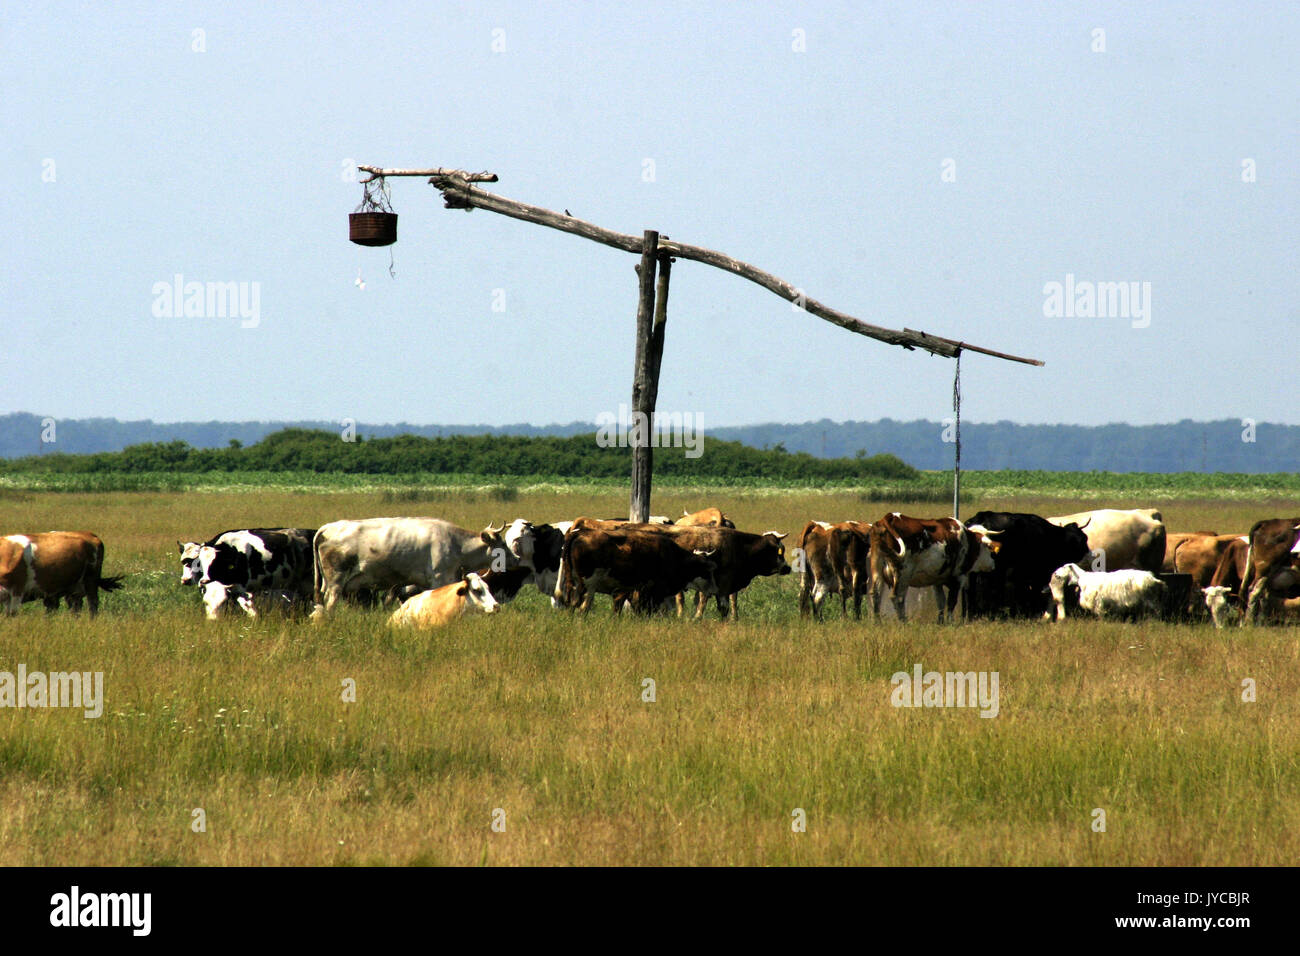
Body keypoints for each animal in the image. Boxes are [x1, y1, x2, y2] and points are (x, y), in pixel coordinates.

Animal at [312, 517, 513, 616]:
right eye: (502, 544)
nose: (516, 557)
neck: (457, 545)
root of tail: (327, 528)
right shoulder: (440, 579)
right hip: (336, 581)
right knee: (331, 601)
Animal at [555, 527, 717, 614]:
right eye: (708, 571)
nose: (714, 591)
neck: (673, 556)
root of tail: (579, 533)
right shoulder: (651, 591)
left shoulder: (626, 591)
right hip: (588, 585)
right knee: (582, 606)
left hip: (572, 583)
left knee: (571, 604)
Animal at [868, 514, 1000, 623]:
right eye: (988, 547)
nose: (993, 564)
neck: (967, 540)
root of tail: (889, 518)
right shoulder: (958, 577)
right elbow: (951, 602)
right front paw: (950, 622)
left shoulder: (937, 581)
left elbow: (940, 601)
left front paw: (940, 622)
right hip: (903, 574)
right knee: (897, 598)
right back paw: (903, 622)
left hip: (878, 572)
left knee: (876, 595)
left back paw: (877, 622)